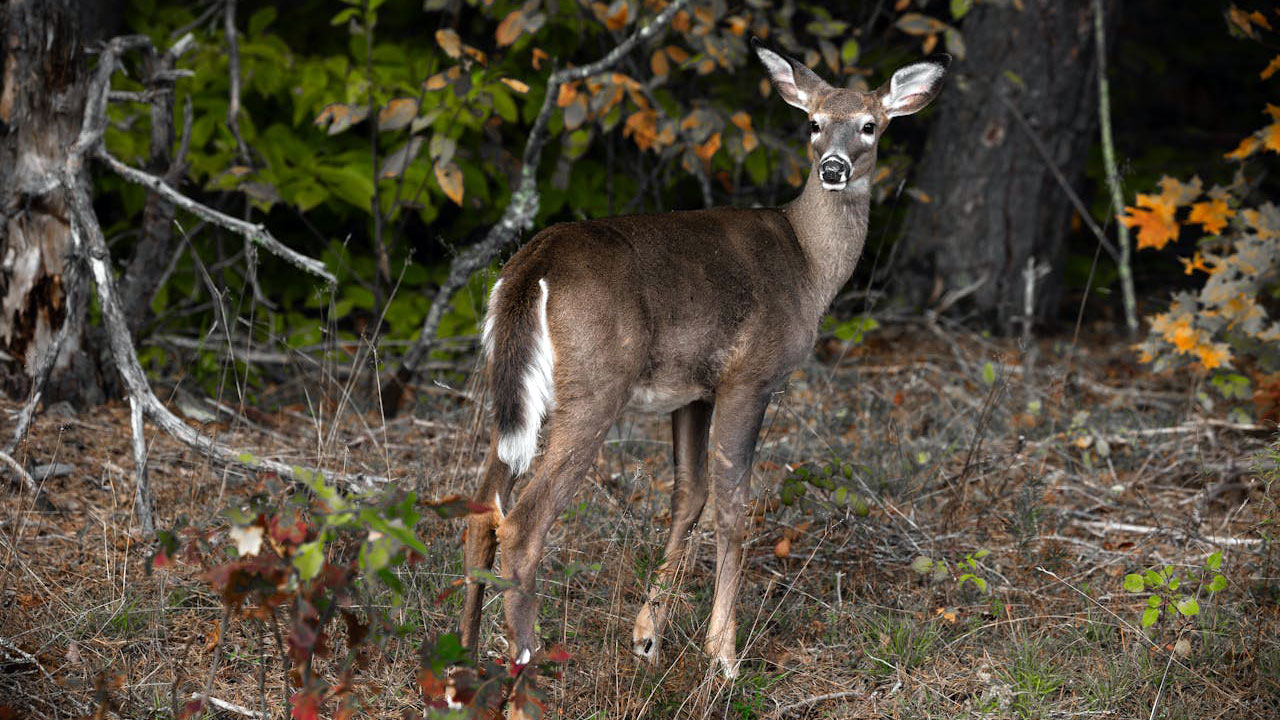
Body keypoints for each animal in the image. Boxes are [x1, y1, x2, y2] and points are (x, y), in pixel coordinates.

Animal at [459, 38, 949, 679]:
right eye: (813, 123)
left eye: (869, 125)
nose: (834, 168)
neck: (809, 265)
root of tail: (530, 267)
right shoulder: (751, 376)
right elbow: (732, 508)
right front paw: (724, 654)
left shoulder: (691, 391)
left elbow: (687, 497)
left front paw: (647, 637)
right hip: (594, 384)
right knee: (521, 523)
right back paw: (525, 663)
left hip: (510, 384)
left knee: (482, 506)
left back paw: (461, 659)